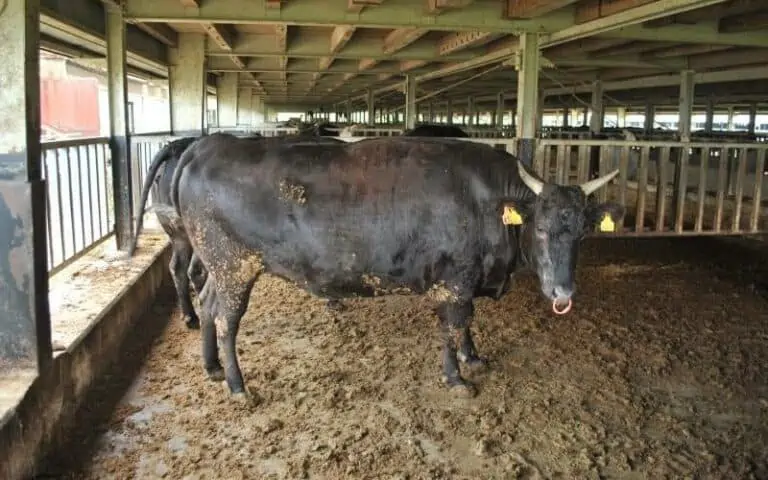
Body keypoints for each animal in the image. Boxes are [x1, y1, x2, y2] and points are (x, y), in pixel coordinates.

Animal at [169, 134, 623, 404]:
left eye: (582, 232)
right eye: (542, 229)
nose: (563, 293)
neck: (486, 201)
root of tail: (206, 144)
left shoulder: (466, 280)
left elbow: (467, 324)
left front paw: (473, 357)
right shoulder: (454, 281)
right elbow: (453, 325)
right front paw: (456, 377)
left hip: (219, 267)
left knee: (208, 305)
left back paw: (211, 368)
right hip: (233, 265)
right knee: (227, 320)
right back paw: (236, 385)